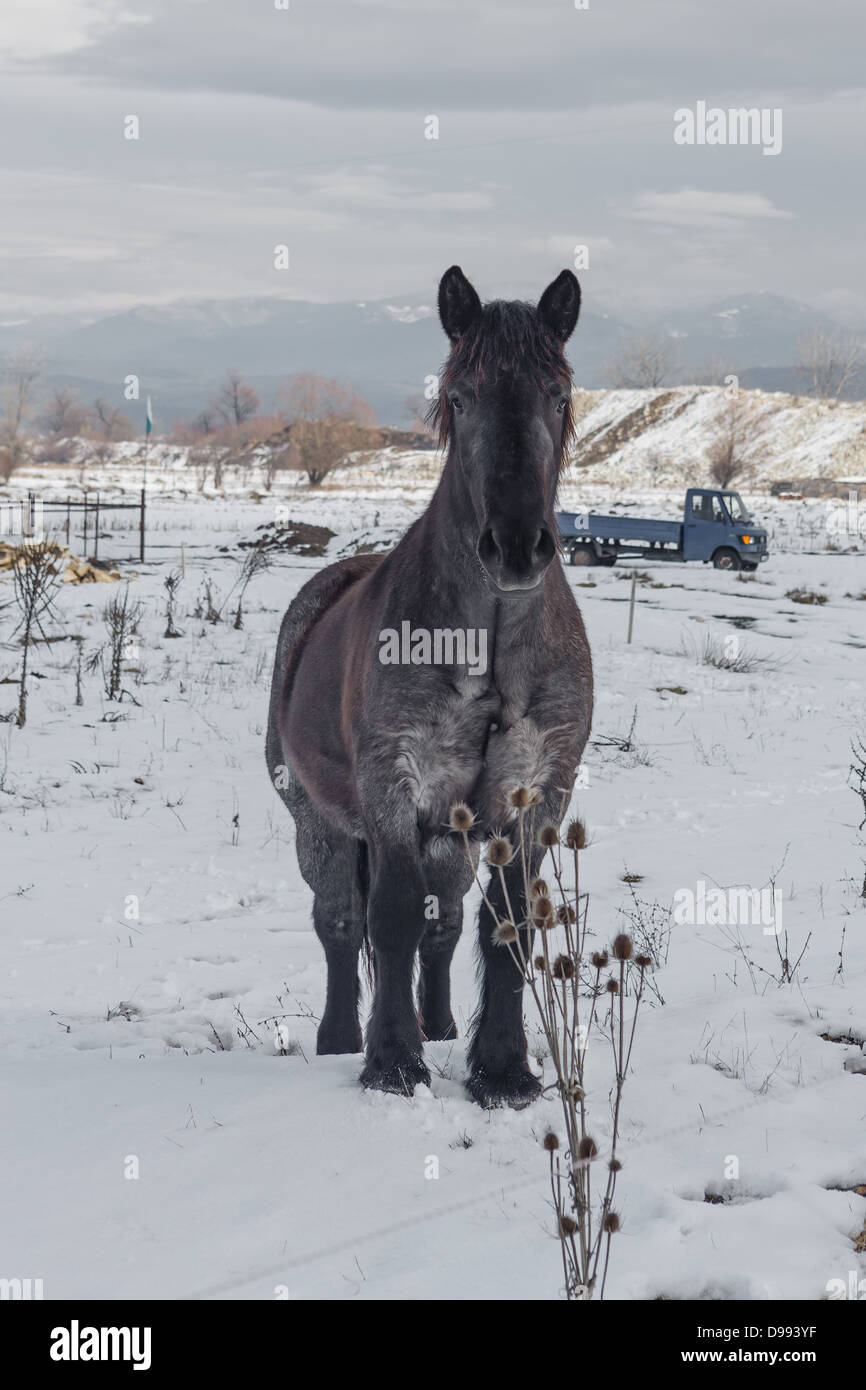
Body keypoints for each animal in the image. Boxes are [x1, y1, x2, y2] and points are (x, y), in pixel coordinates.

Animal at [266, 266, 593, 1108]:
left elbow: (503, 925)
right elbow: (389, 920)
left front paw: (502, 1069)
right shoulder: (393, 784)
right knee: (340, 924)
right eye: (462, 396)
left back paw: (442, 1027)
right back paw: (341, 1037)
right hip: (319, 825)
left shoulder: (534, 795)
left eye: (558, 393)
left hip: (450, 836)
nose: (516, 544)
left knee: (442, 927)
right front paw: (391, 1061)